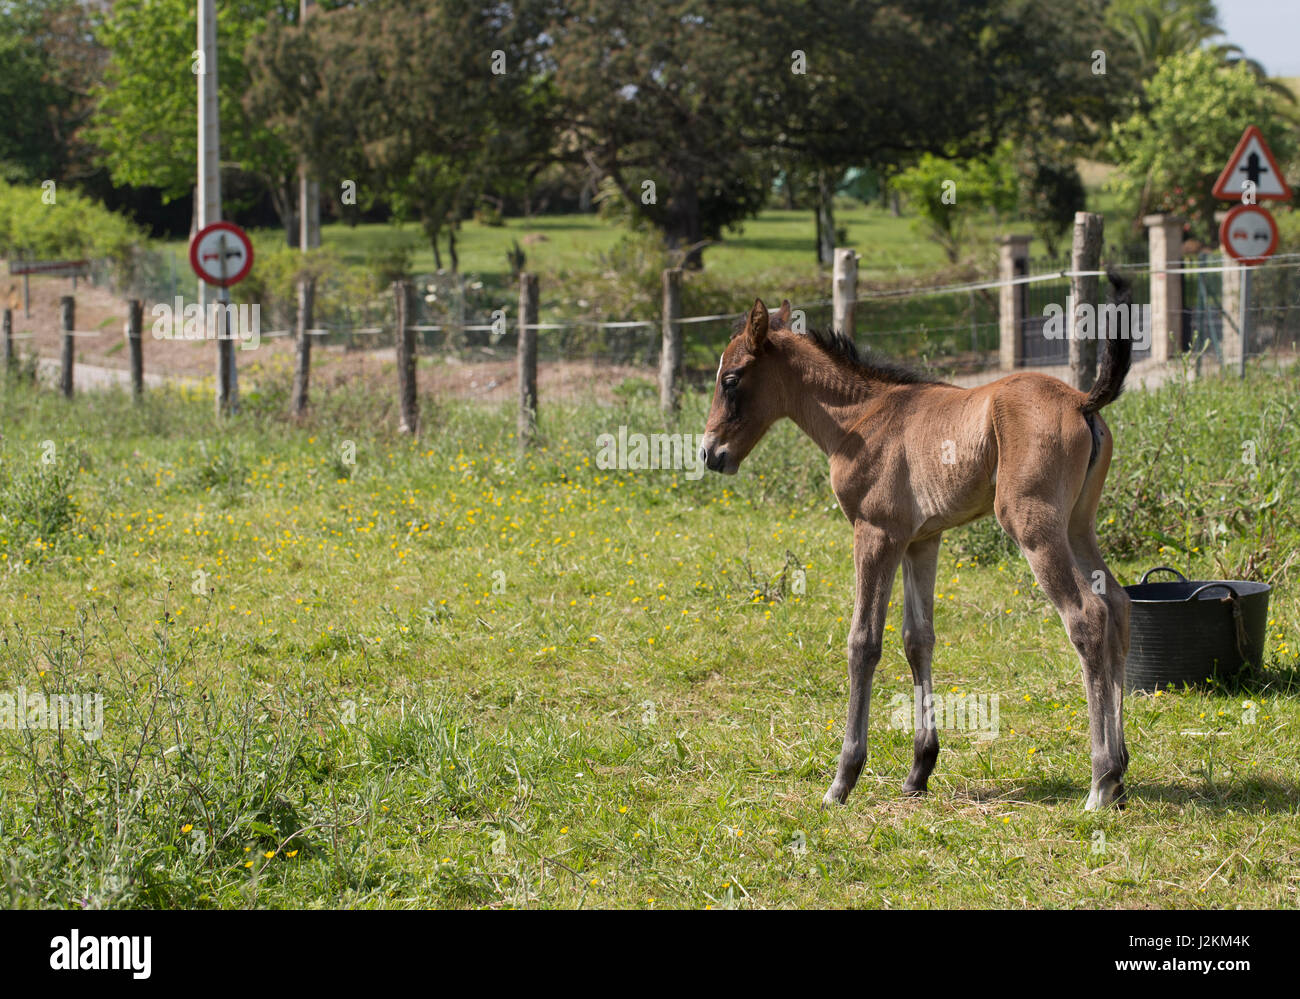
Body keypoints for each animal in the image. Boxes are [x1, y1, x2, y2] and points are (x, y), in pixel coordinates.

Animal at [699, 278, 1134, 810]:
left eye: (731, 379)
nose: (710, 453)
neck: (862, 417)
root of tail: (1081, 401)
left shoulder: (876, 532)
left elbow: (863, 643)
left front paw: (843, 779)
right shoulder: (921, 540)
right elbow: (917, 638)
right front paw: (919, 770)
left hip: (1034, 527)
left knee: (1087, 615)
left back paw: (1100, 781)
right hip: (1078, 525)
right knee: (1118, 604)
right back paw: (1120, 772)